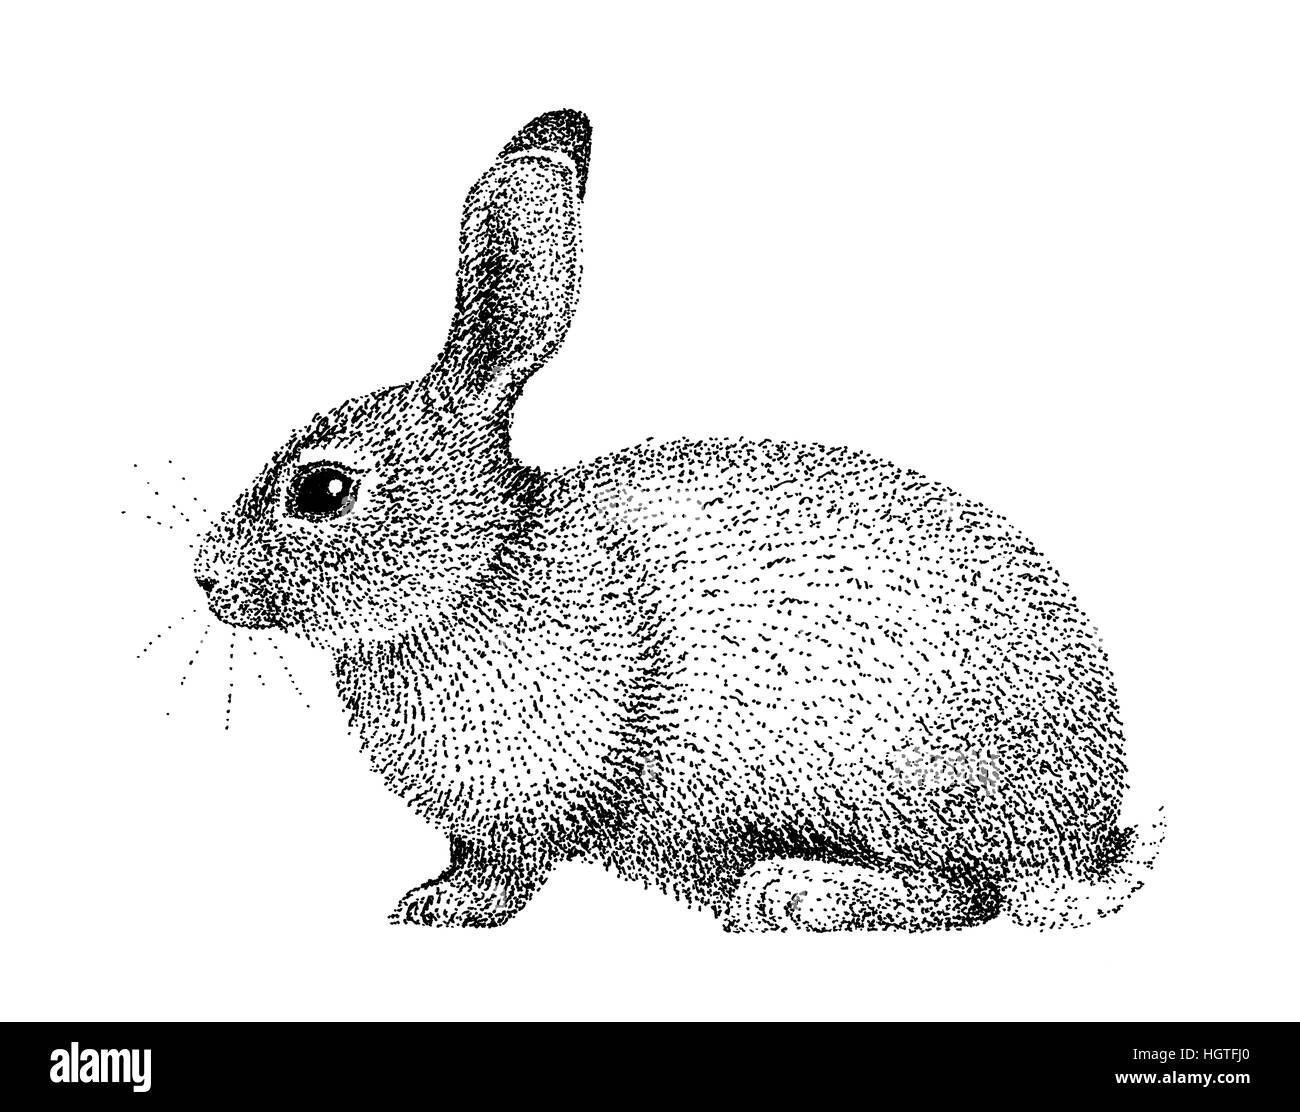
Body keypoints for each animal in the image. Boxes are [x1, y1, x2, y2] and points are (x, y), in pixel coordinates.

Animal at [194, 109, 1163, 932]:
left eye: (323, 491)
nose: (205, 577)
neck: (479, 569)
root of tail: (1090, 831)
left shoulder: (536, 797)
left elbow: (507, 870)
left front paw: (440, 909)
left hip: (891, 786)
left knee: (964, 895)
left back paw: (791, 895)